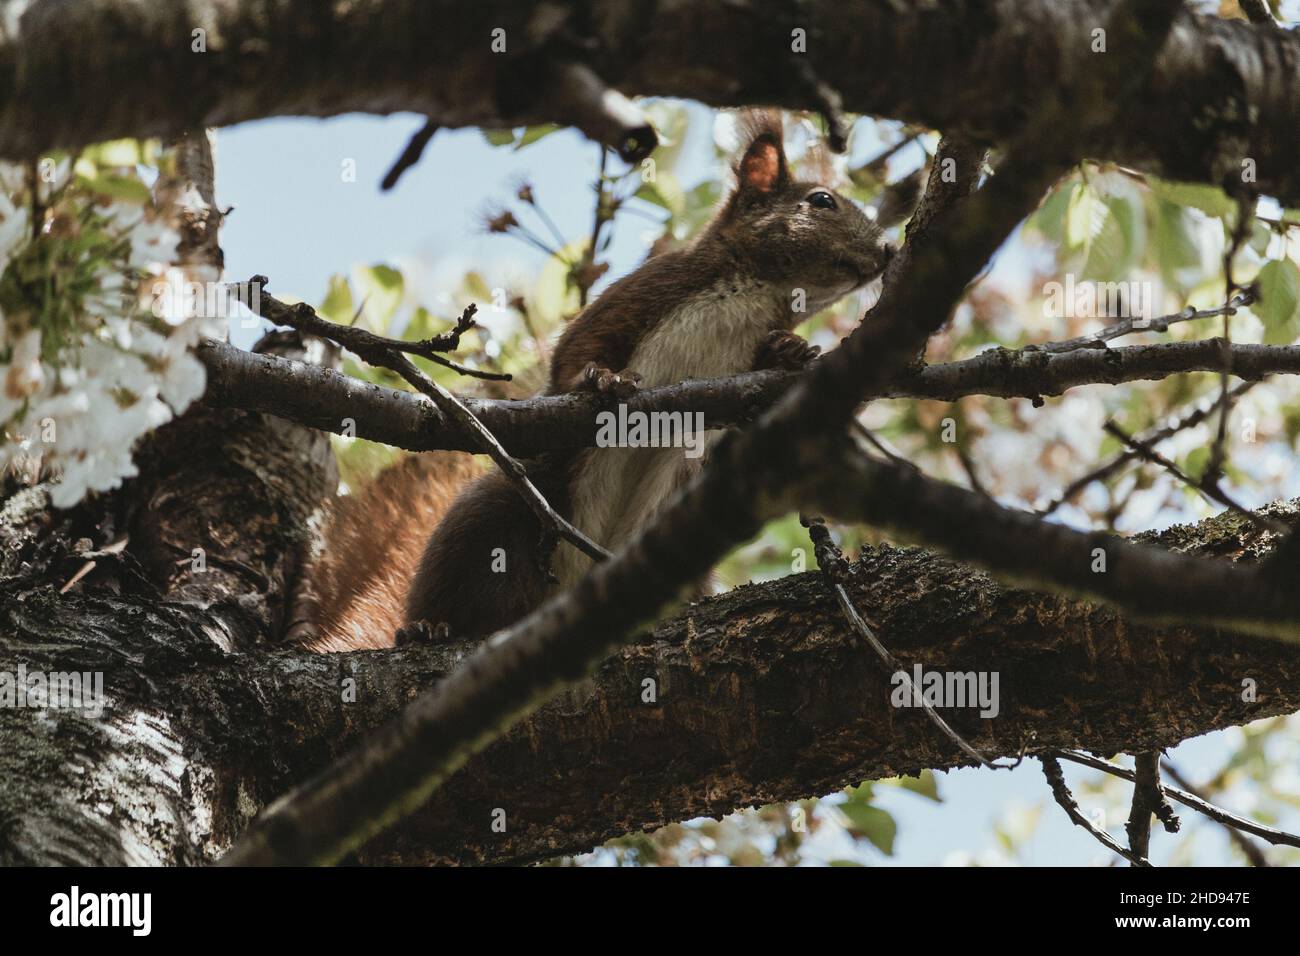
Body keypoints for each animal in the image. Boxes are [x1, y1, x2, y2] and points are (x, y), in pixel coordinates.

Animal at [303, 111, 893, 652]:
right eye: (822, 201)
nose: (888, 251)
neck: (757, 292)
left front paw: (790, 351)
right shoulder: (639, 295)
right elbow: (575, 353)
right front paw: (602, 379)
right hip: (499, 516)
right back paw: (428, 626)